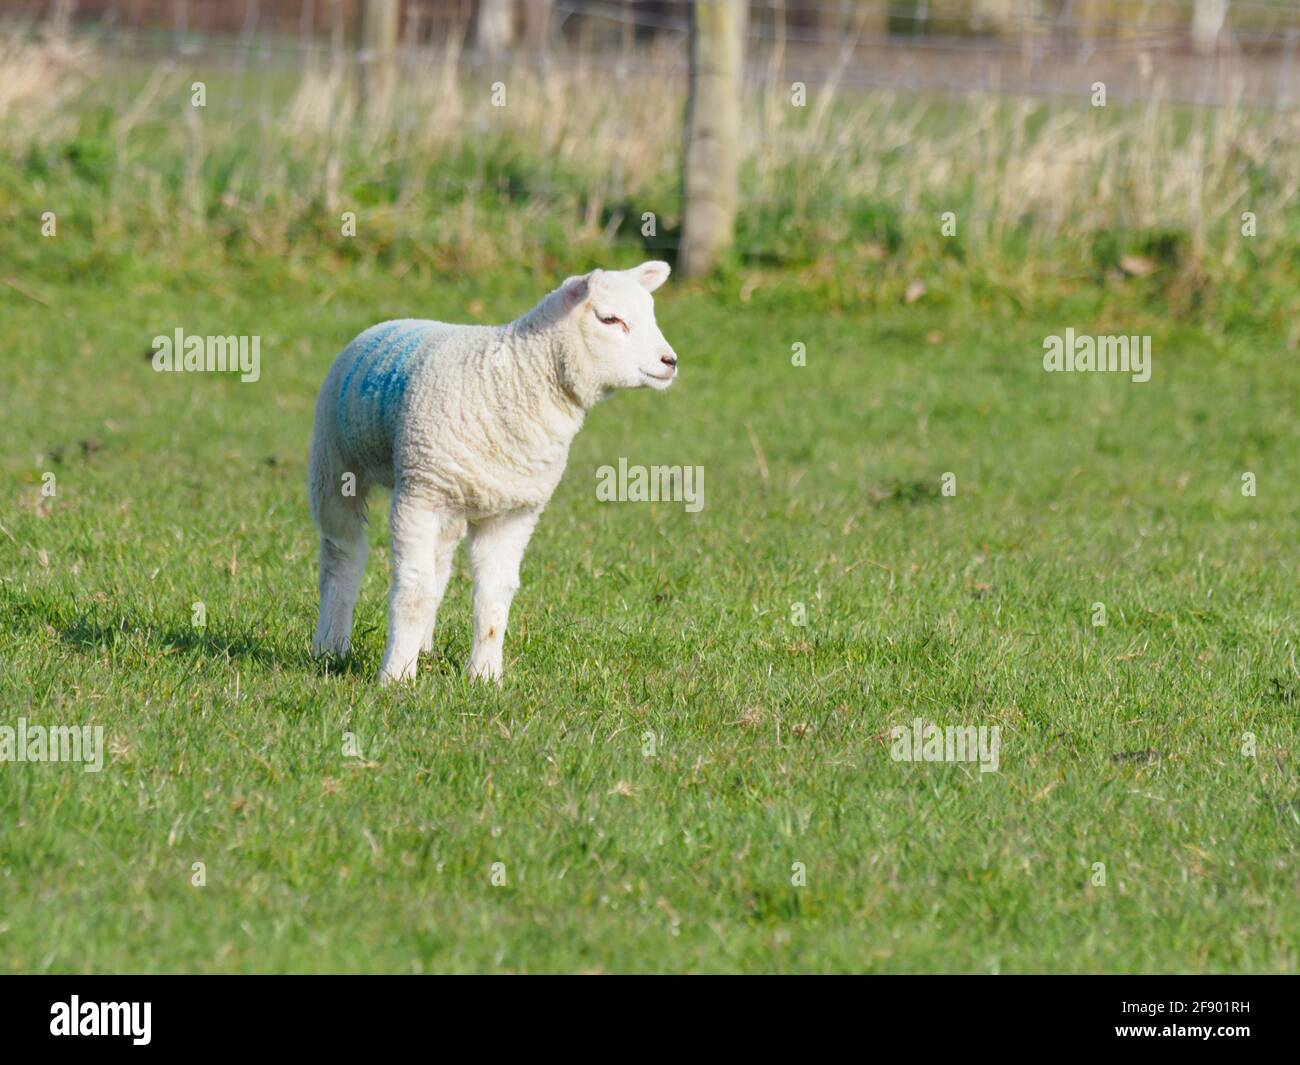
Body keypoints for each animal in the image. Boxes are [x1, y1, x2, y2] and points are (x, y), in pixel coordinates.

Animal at [308, 261, 678, 684]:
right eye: (610, 319)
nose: (670, 362)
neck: (517, 379)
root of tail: (390, 321)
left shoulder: (514, 512)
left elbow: (494, 598)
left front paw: (485, 677)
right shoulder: (418, 495)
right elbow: (413, 593)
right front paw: (396, 677)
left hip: (452, 496)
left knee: (439, 567)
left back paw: (423, 647)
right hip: (336, 463)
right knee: (342, 555)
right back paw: (331, 646)